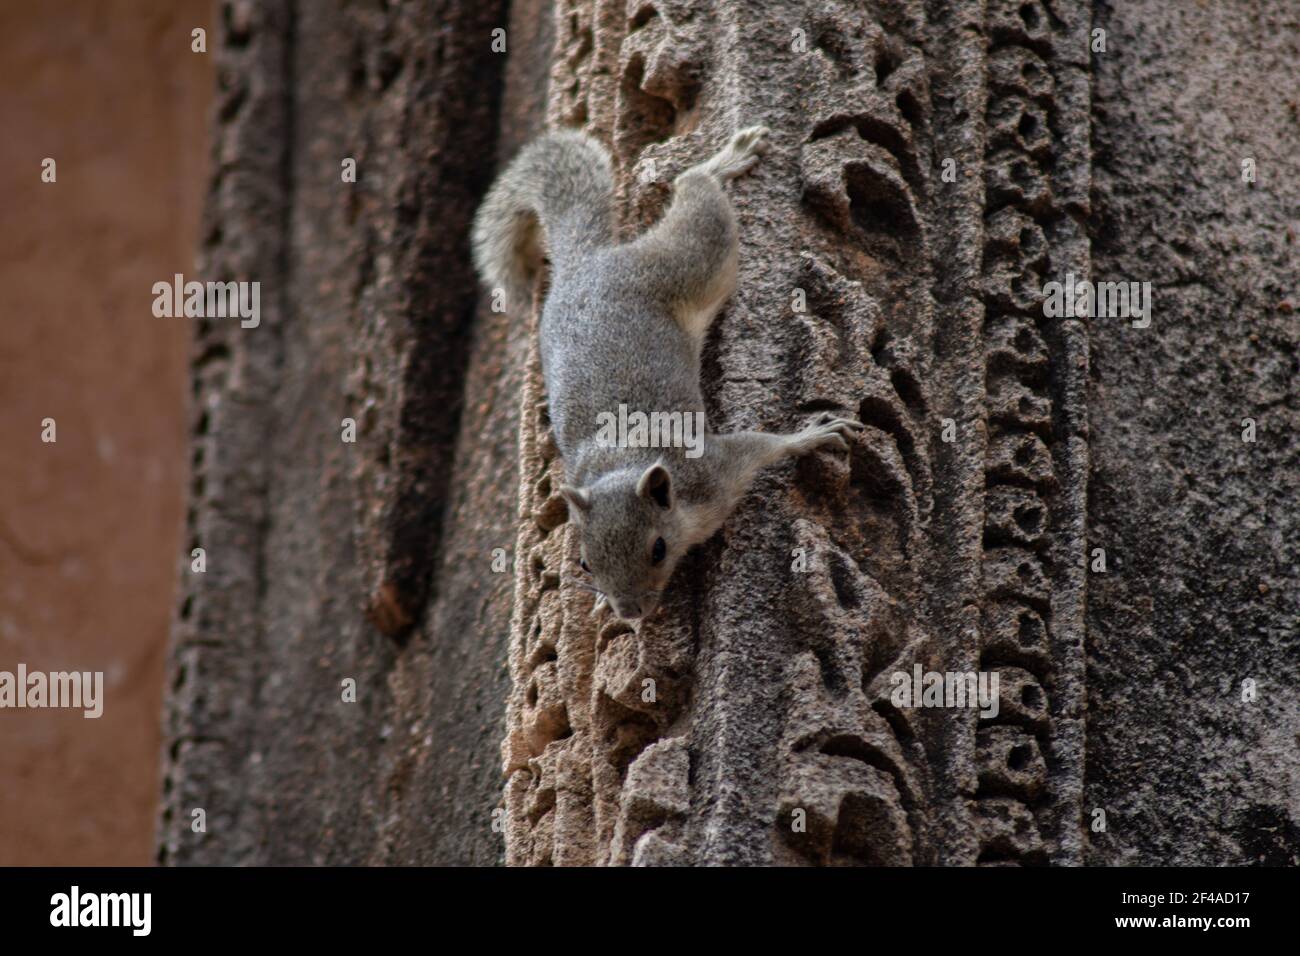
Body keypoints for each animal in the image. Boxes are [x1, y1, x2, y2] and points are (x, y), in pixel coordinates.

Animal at [472, 126, 863, 622]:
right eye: (584, 562)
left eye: (657, 549)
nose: (629, 613)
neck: (624, 466)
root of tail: (585, 265)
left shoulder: (713, 472)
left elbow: (763, 446)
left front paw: (811, 435)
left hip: (690, 263)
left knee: (696, 196)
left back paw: (722, 162)